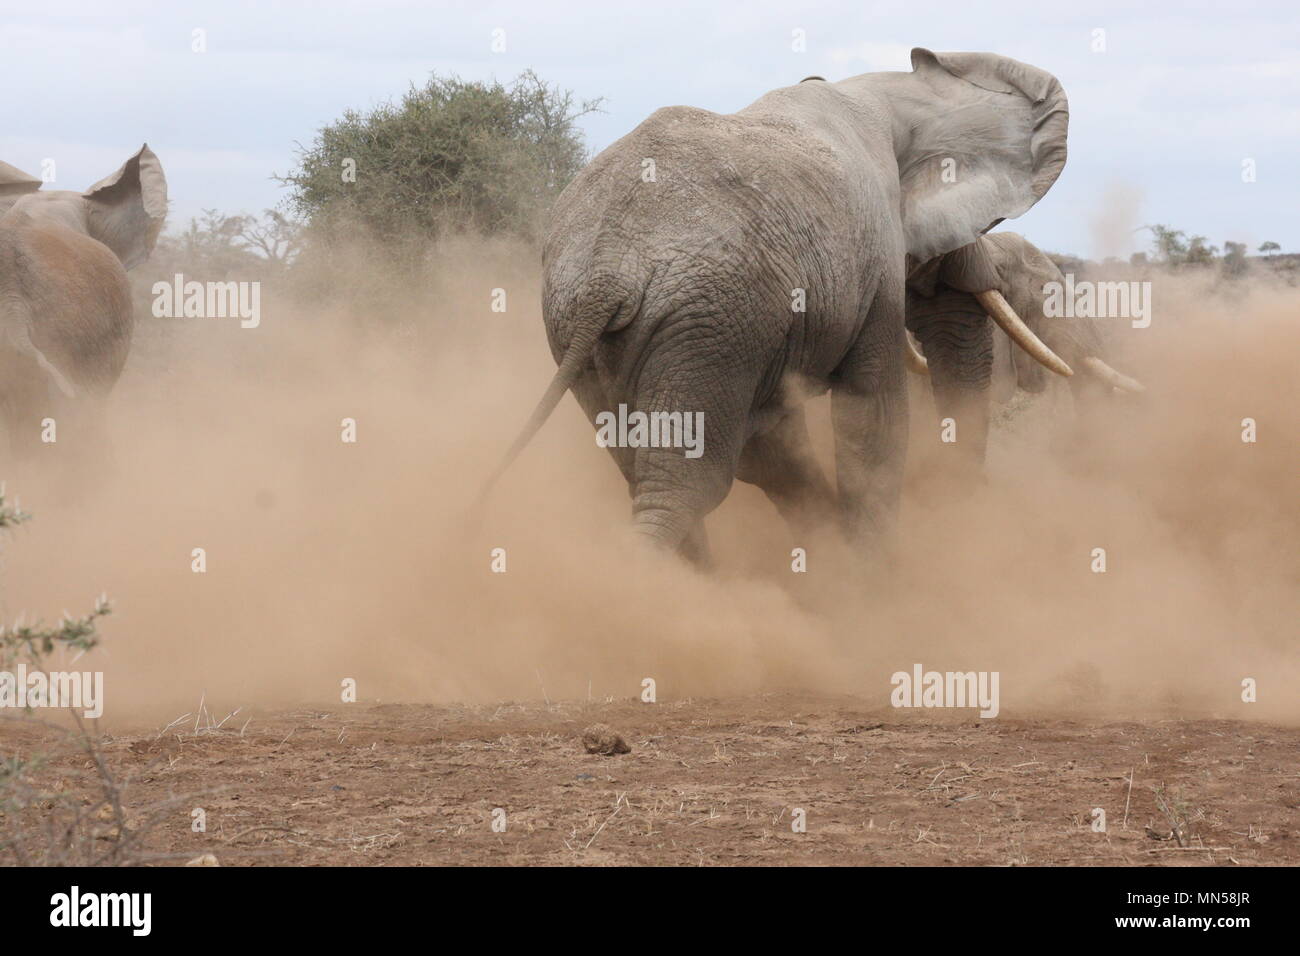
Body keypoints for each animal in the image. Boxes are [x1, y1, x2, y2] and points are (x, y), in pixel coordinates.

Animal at [490, 49, 1069, 563]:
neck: (884, 92)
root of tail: (609, 270)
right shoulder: (872, 257)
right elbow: (873, 419)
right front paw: (871, 581)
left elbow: (776, 443)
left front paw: (831, 553)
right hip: (705, 322)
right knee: (685, 485)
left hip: (598, 330)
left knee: (648, 468)